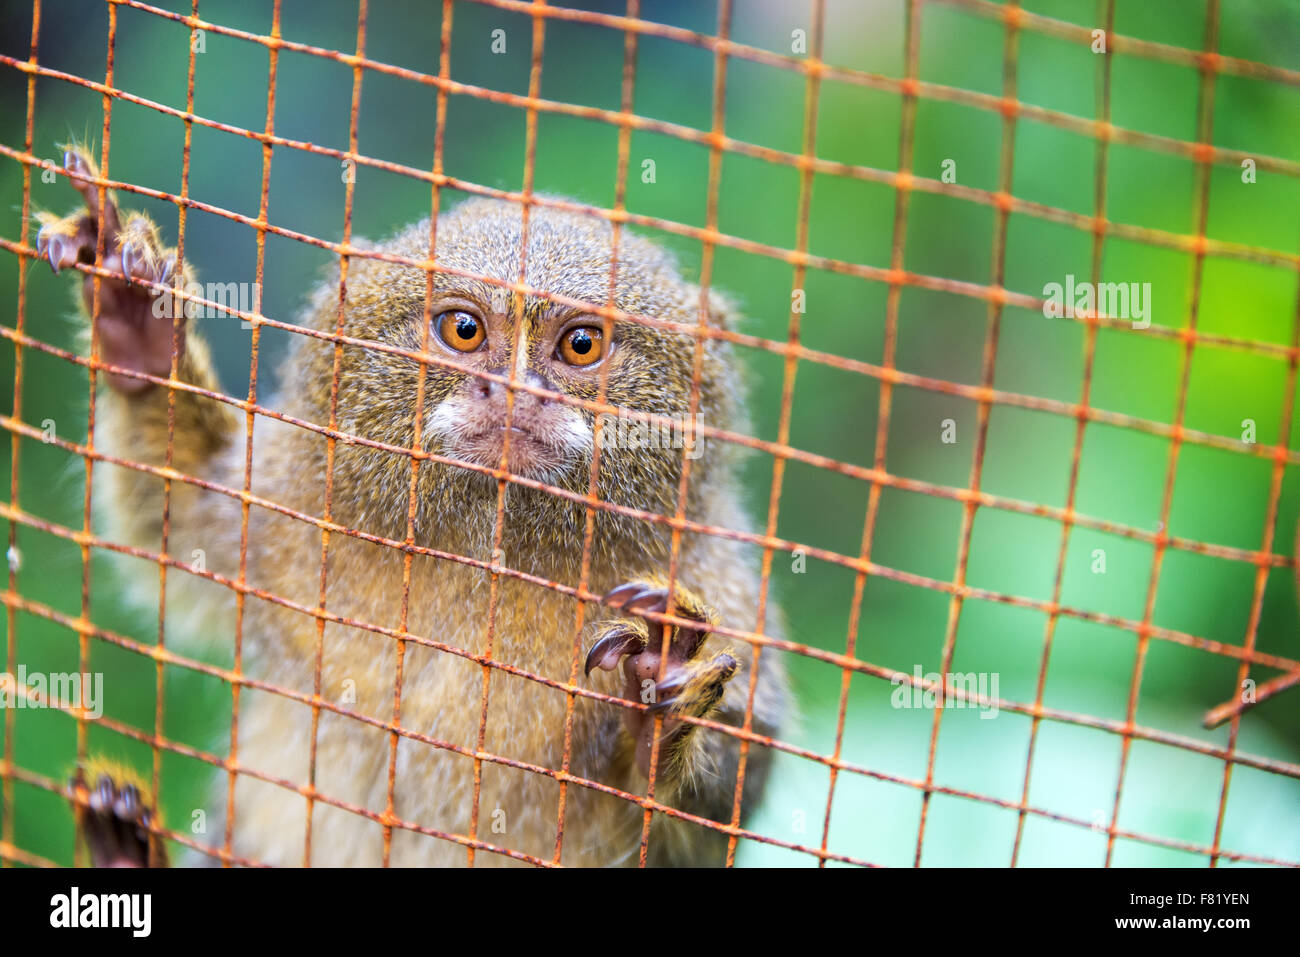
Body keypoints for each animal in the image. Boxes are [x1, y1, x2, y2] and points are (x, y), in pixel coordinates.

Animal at [36, 145, 788, 867]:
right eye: (463, 329)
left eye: (581, 344)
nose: (514, 390)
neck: (482, 556)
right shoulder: (292, 505)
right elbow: (178, 515)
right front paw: (137, 324)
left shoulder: (720, 584)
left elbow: (709, 816)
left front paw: (662, 701)